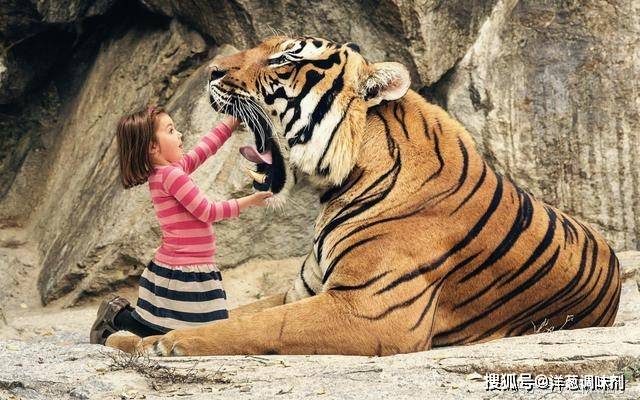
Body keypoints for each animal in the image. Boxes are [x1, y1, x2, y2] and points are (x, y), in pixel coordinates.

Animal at [106, 35, 622, 357]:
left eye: (284, 60)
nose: (212, 72)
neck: (339, 184)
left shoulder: (368, 309)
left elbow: (251, 325)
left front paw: (157, 344)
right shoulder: (302, 289)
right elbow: (232, 314)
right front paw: (126, 339)